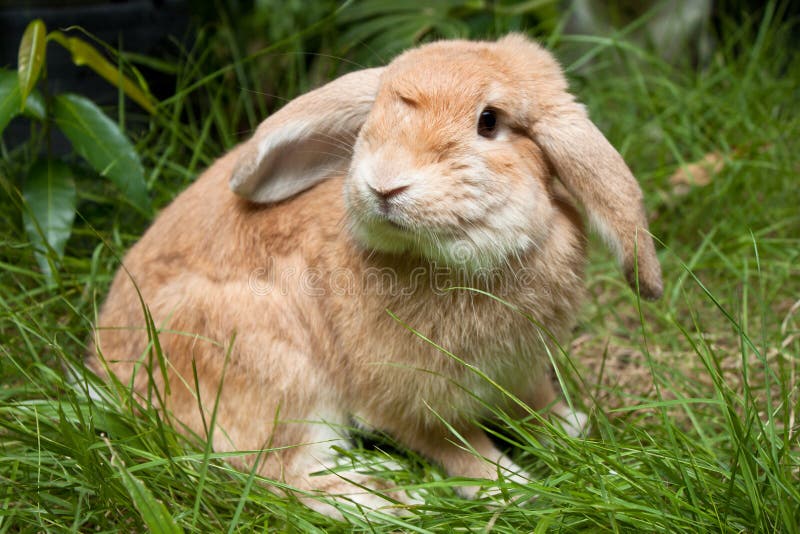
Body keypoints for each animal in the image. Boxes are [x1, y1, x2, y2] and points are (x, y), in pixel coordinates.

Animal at [87, 33, 662, 518]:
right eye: (375, 114)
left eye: (489, 121)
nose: (384, 184)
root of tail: (107, 378)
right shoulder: (405, 402)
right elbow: (462, 449)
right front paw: (514, 488)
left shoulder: (518, 372)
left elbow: (536, 406)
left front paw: (575, 430)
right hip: (271, 369)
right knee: (281, 474)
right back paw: (388, 496)